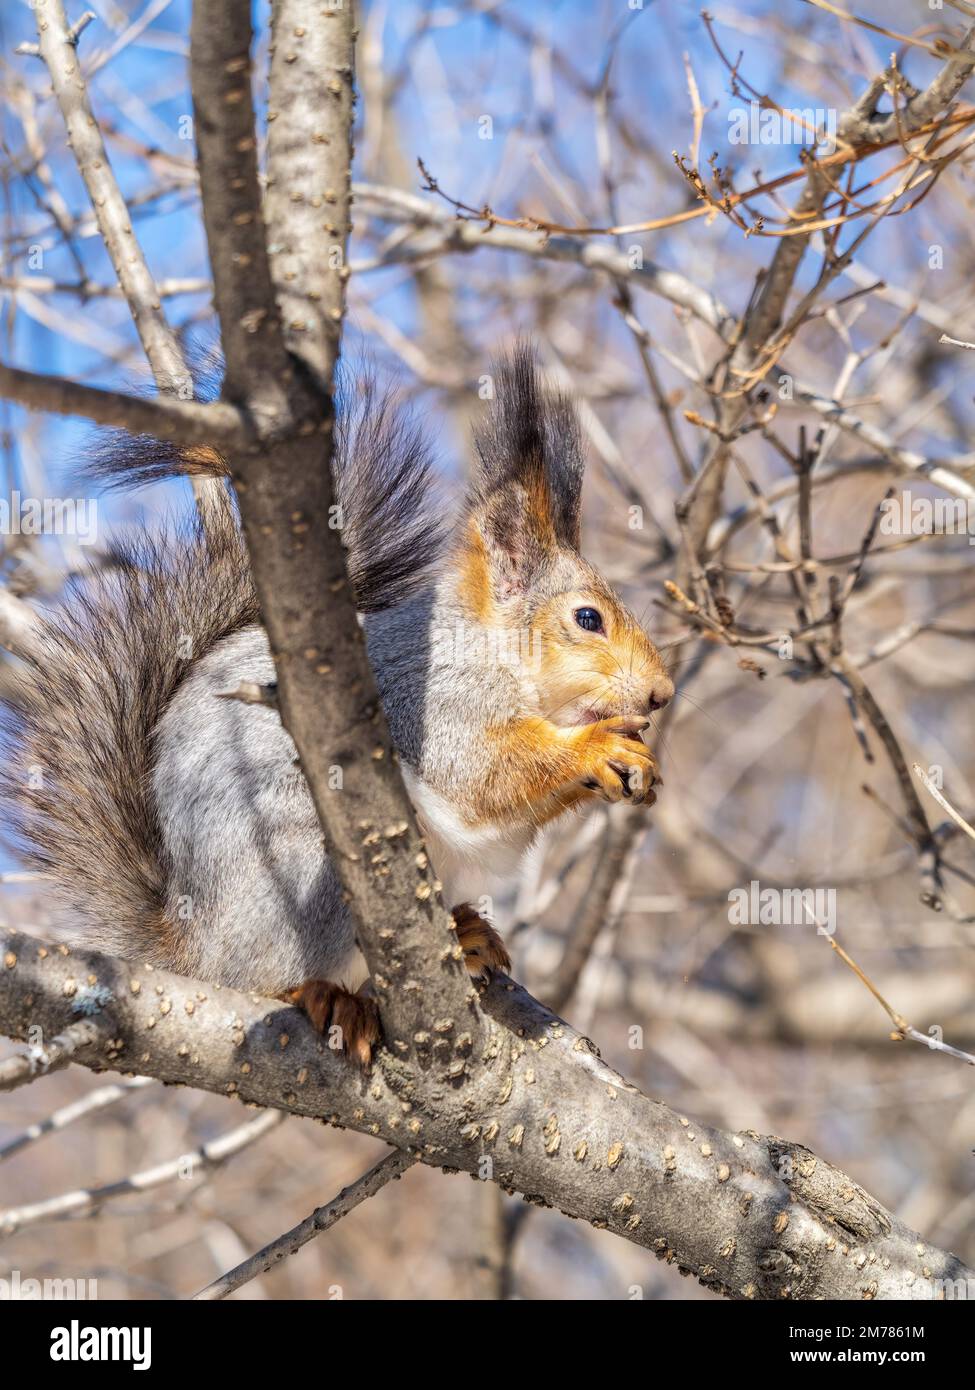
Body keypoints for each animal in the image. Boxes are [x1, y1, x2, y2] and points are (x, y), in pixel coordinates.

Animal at [2, 346, 673, 1064]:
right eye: (587, 619)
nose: (661, 694)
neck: (494, 651)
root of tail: (196, 948)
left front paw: (633, 761)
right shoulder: (428, 698)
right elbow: (479, 773)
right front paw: (598, 747)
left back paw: (466, 932)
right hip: (306, 874)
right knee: (273, 976)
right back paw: (327, 996)